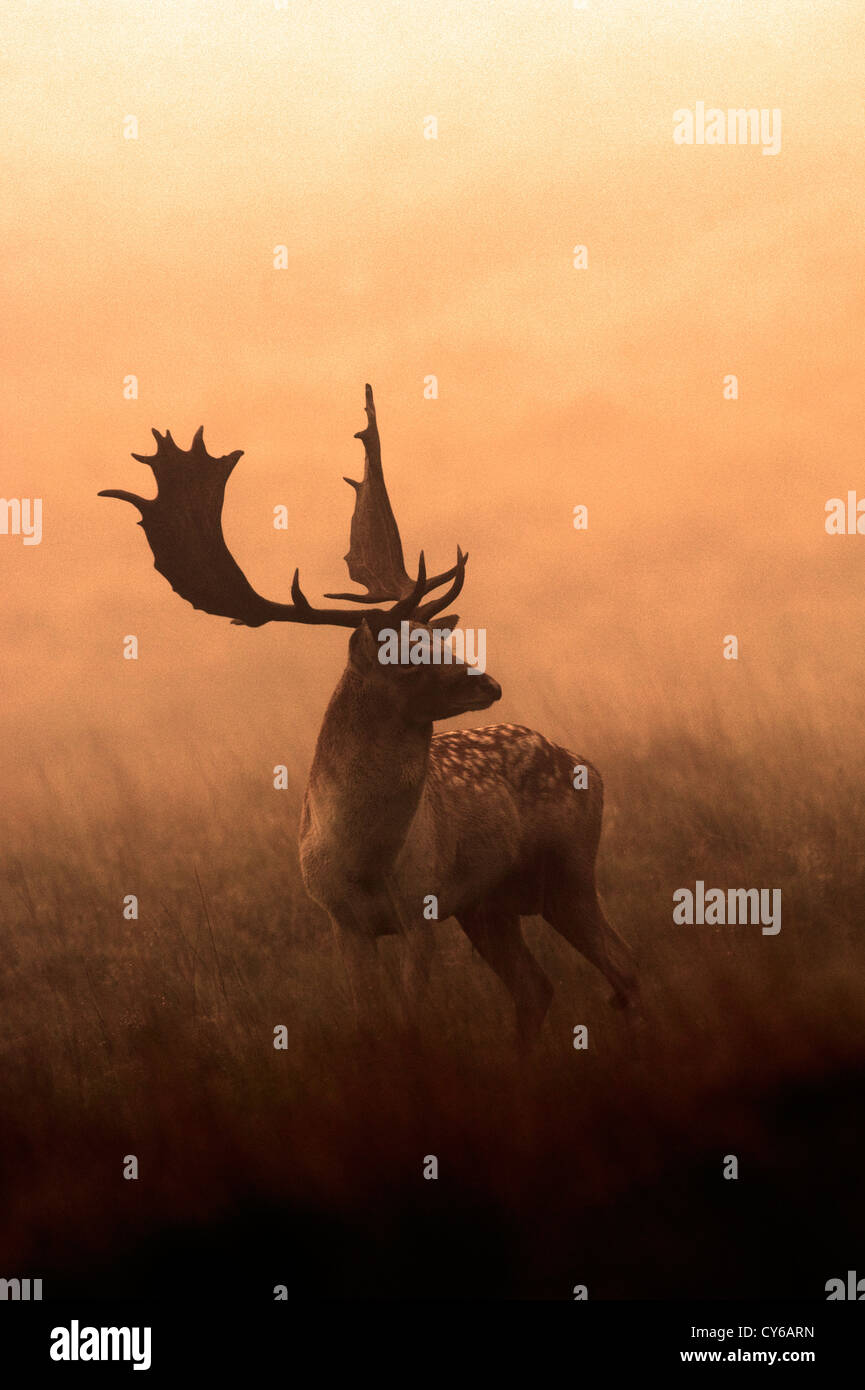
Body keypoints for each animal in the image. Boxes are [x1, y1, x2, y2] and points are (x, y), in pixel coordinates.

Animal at [99, 385, 638, 1044]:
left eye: (434, 640)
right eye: (406, 658)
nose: (487, 681)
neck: (364, 861)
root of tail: (584, 761)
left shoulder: (422, 909)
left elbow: (410, 1019)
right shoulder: (342, 921)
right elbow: (372, 1020)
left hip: (569, 868)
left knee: (622, 967)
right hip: (490, 904)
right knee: (538, 986)